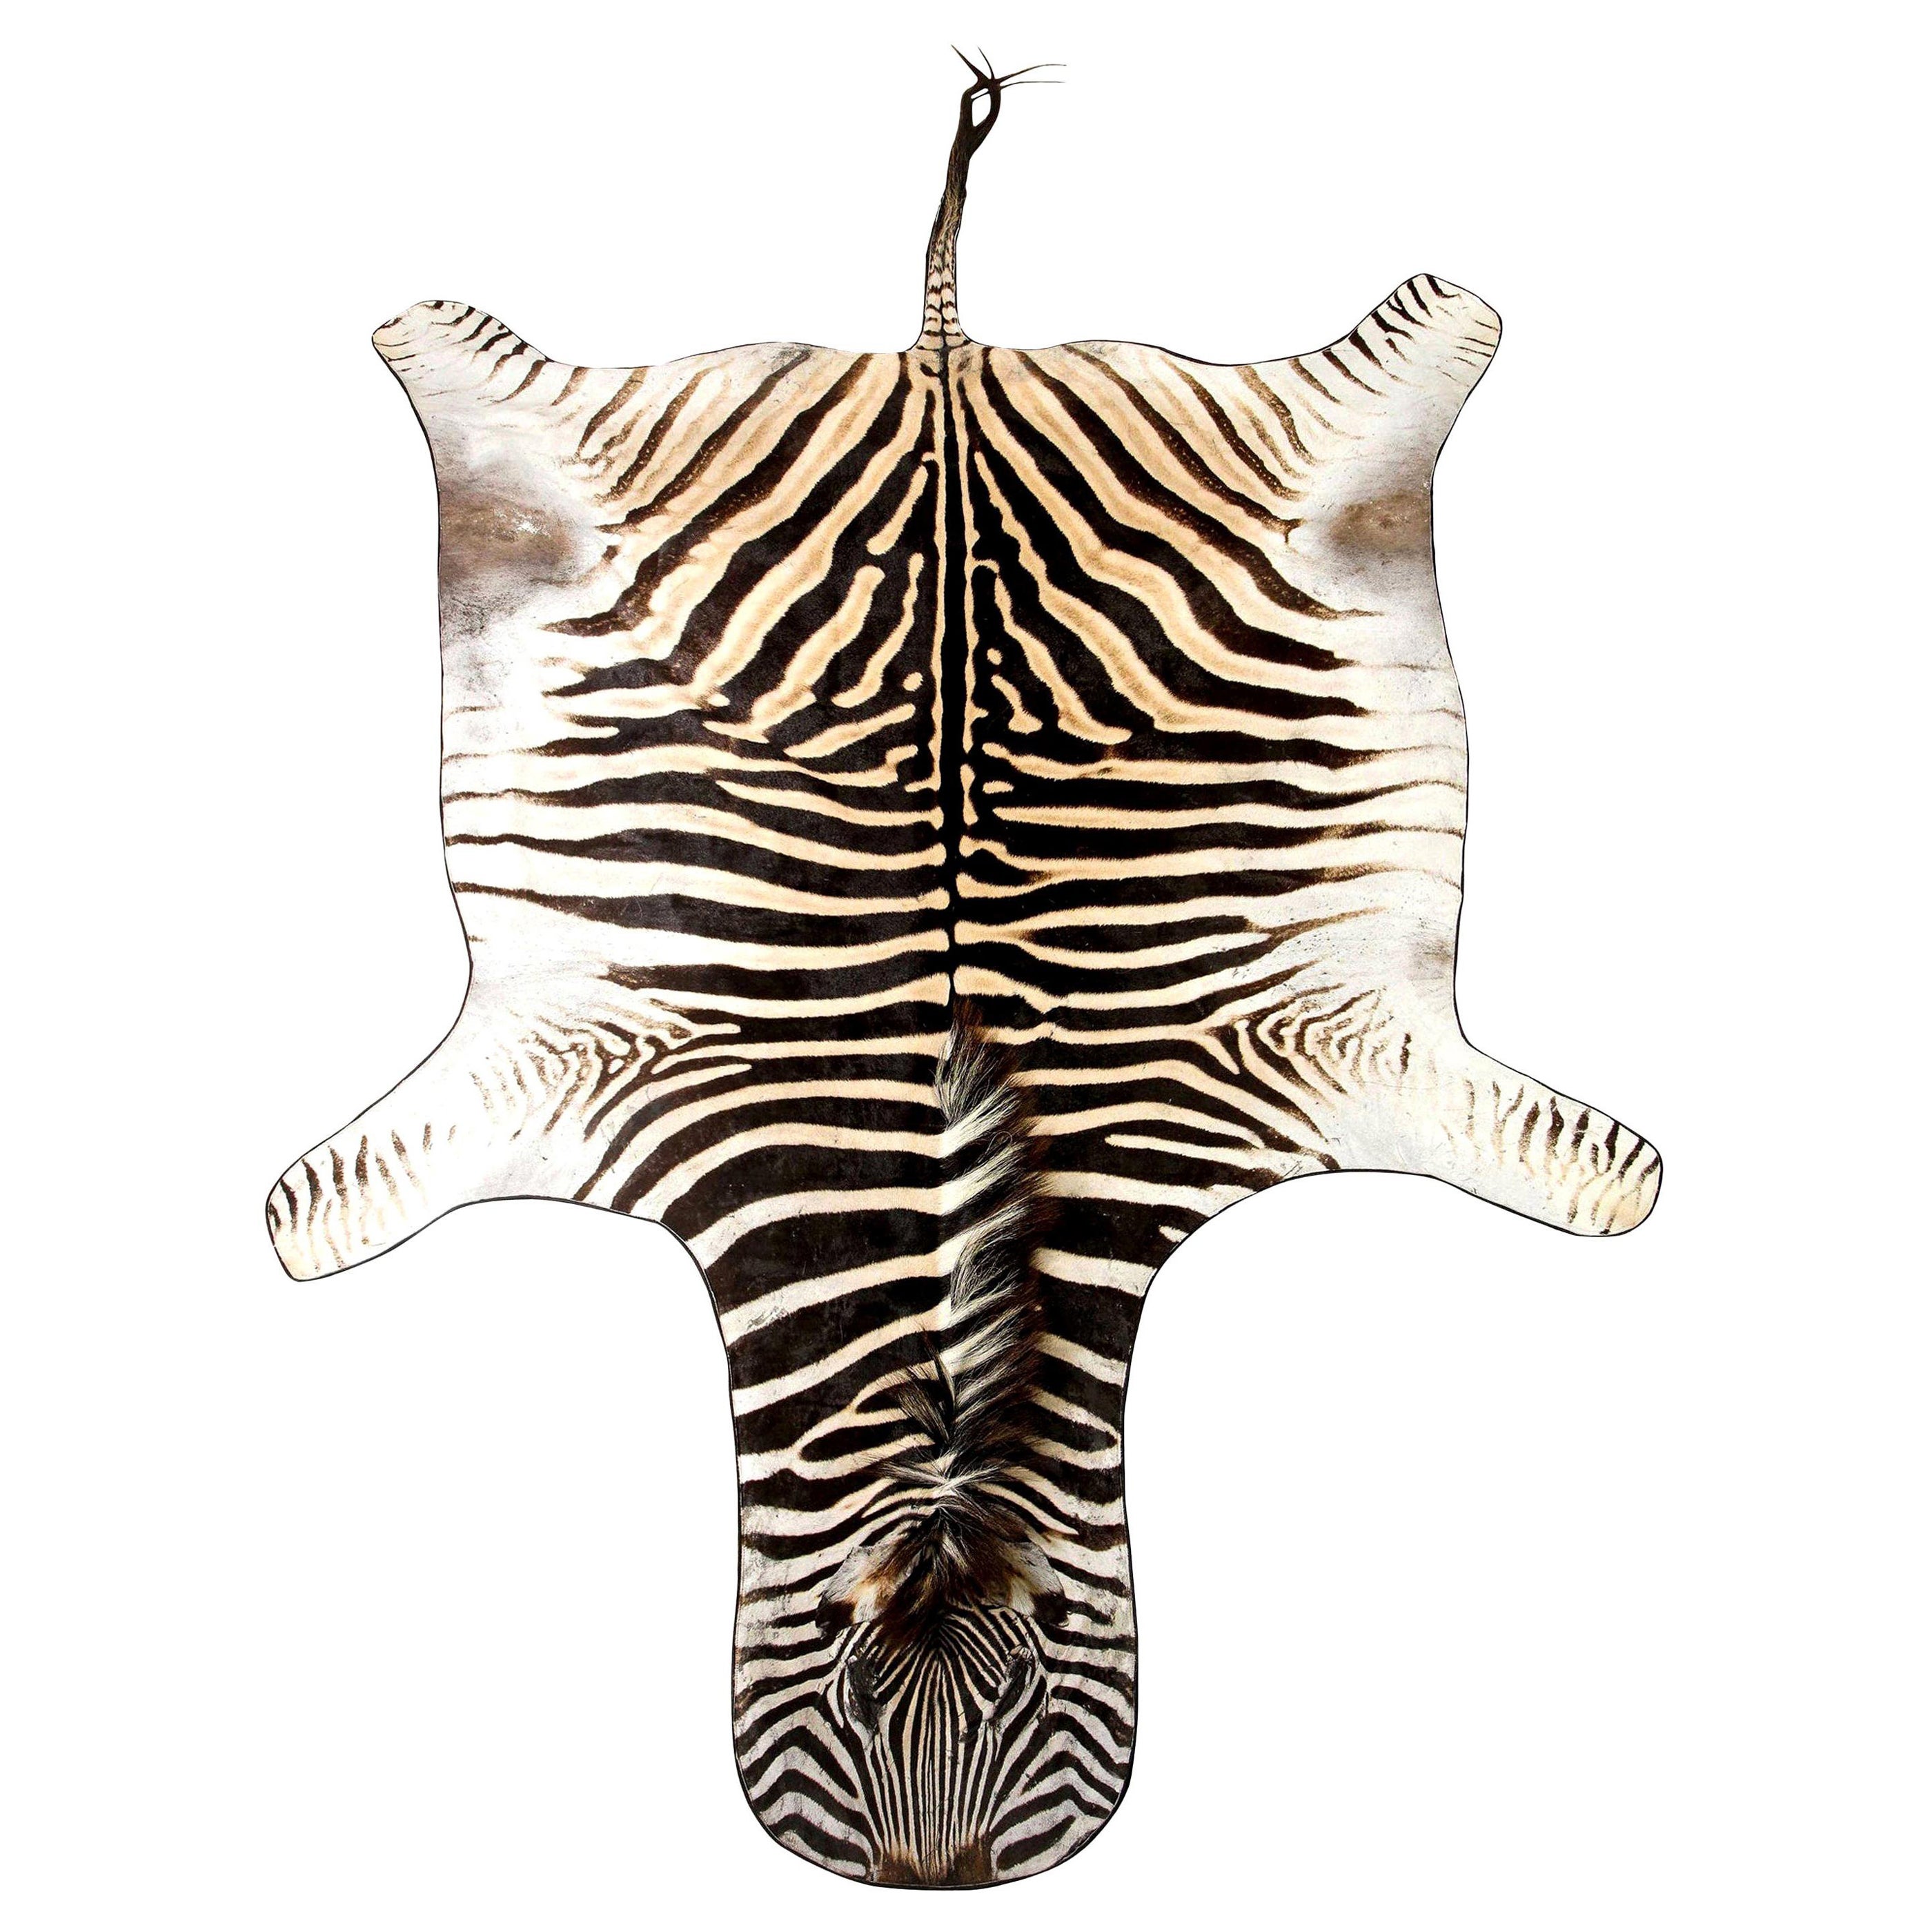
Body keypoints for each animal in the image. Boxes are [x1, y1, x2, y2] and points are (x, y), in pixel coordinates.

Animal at [266, 54, 1661, 1887]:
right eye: (859, 1704)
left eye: (1014, 1702)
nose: (929, 1879)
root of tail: (940, 355)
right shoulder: (575, 1063)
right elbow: (338, 1196)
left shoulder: (1330, 1047)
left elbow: (1573, 1160)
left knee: (1434, 321)